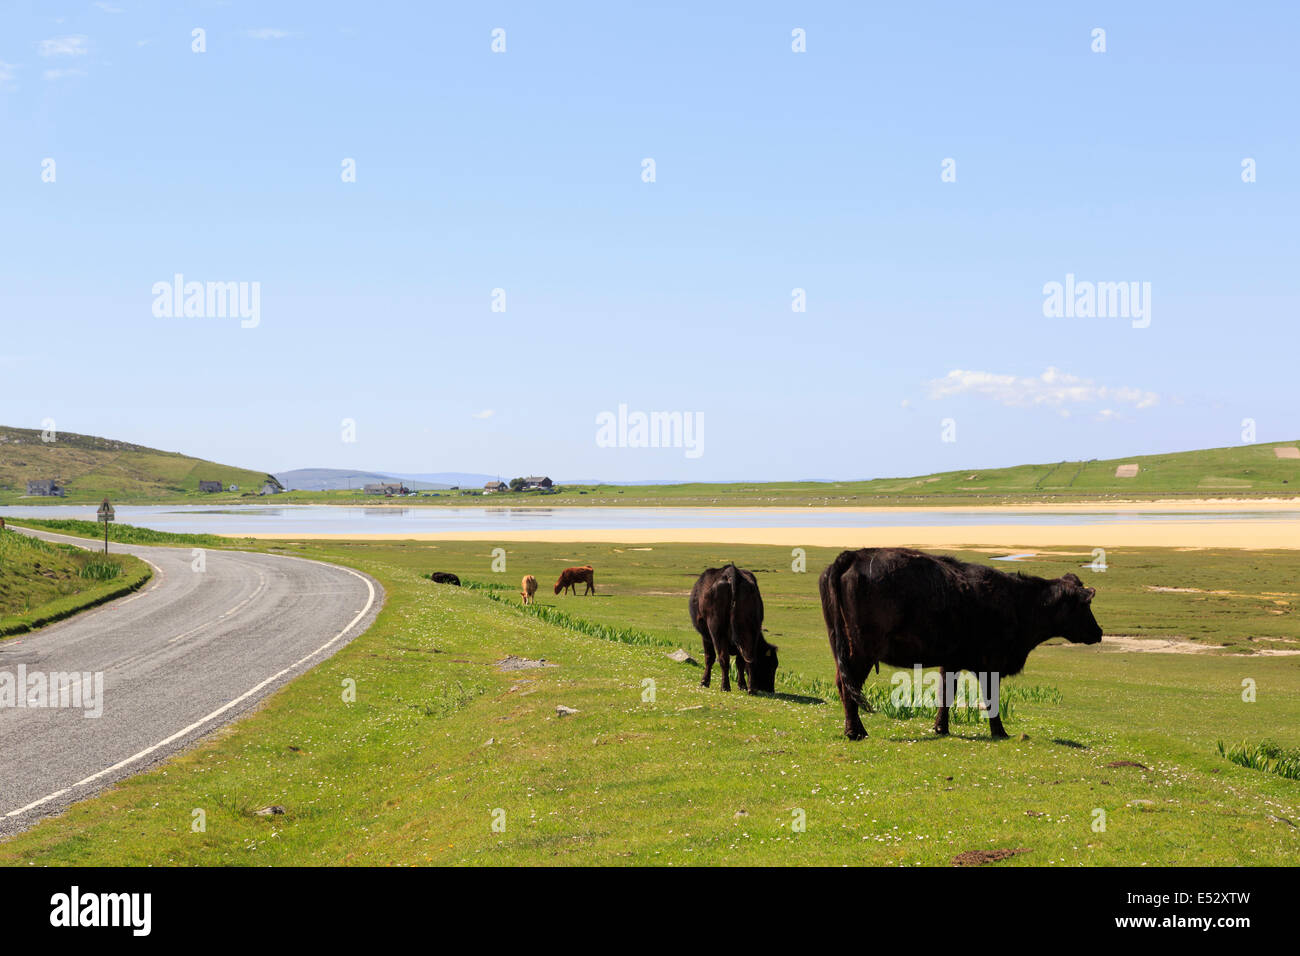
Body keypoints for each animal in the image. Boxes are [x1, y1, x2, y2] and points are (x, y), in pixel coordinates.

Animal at [689, 564, 779, 694]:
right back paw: (750, 688)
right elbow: (740, 662)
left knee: (723, 658)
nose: (770, 689)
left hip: (717, 631)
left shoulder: (706, 636)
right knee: (749, 659)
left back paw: (725, 687)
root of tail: (732, 572)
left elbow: (709, 657)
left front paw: (704, 682)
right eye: (770, 665)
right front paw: (742, 685)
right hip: (750, 630)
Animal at [819, 548, 1101, 741]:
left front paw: (940, 728)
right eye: (1085, 605)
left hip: (841, 648)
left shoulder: (951, 661)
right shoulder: (991, 665)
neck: (1017, 602)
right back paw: (856, 732)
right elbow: (991, 698)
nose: (1099, 632)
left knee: (843, 684)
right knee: (849, 685)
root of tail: (854, 555)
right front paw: (1000, 732)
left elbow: (946, 694)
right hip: (861, 652)